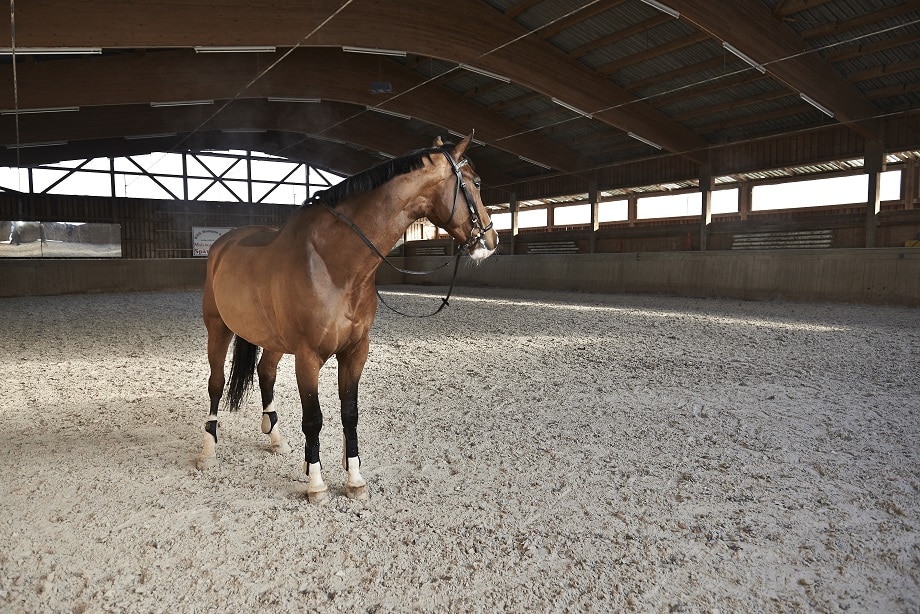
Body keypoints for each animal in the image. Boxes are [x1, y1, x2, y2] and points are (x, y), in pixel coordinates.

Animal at [194, 135, 496, 506]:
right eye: (476, 183)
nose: (491, 241)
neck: (333, 263)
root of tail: (222, 245)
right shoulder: (308, 357)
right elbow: (314, 419)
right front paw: (316, 484)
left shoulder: (355, 351)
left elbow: (349, 414)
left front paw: (354, 479)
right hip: (217, 328)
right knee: (216, 383)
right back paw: (208, 451)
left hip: (274, 340)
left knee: (266, 374)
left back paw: (276, 439)